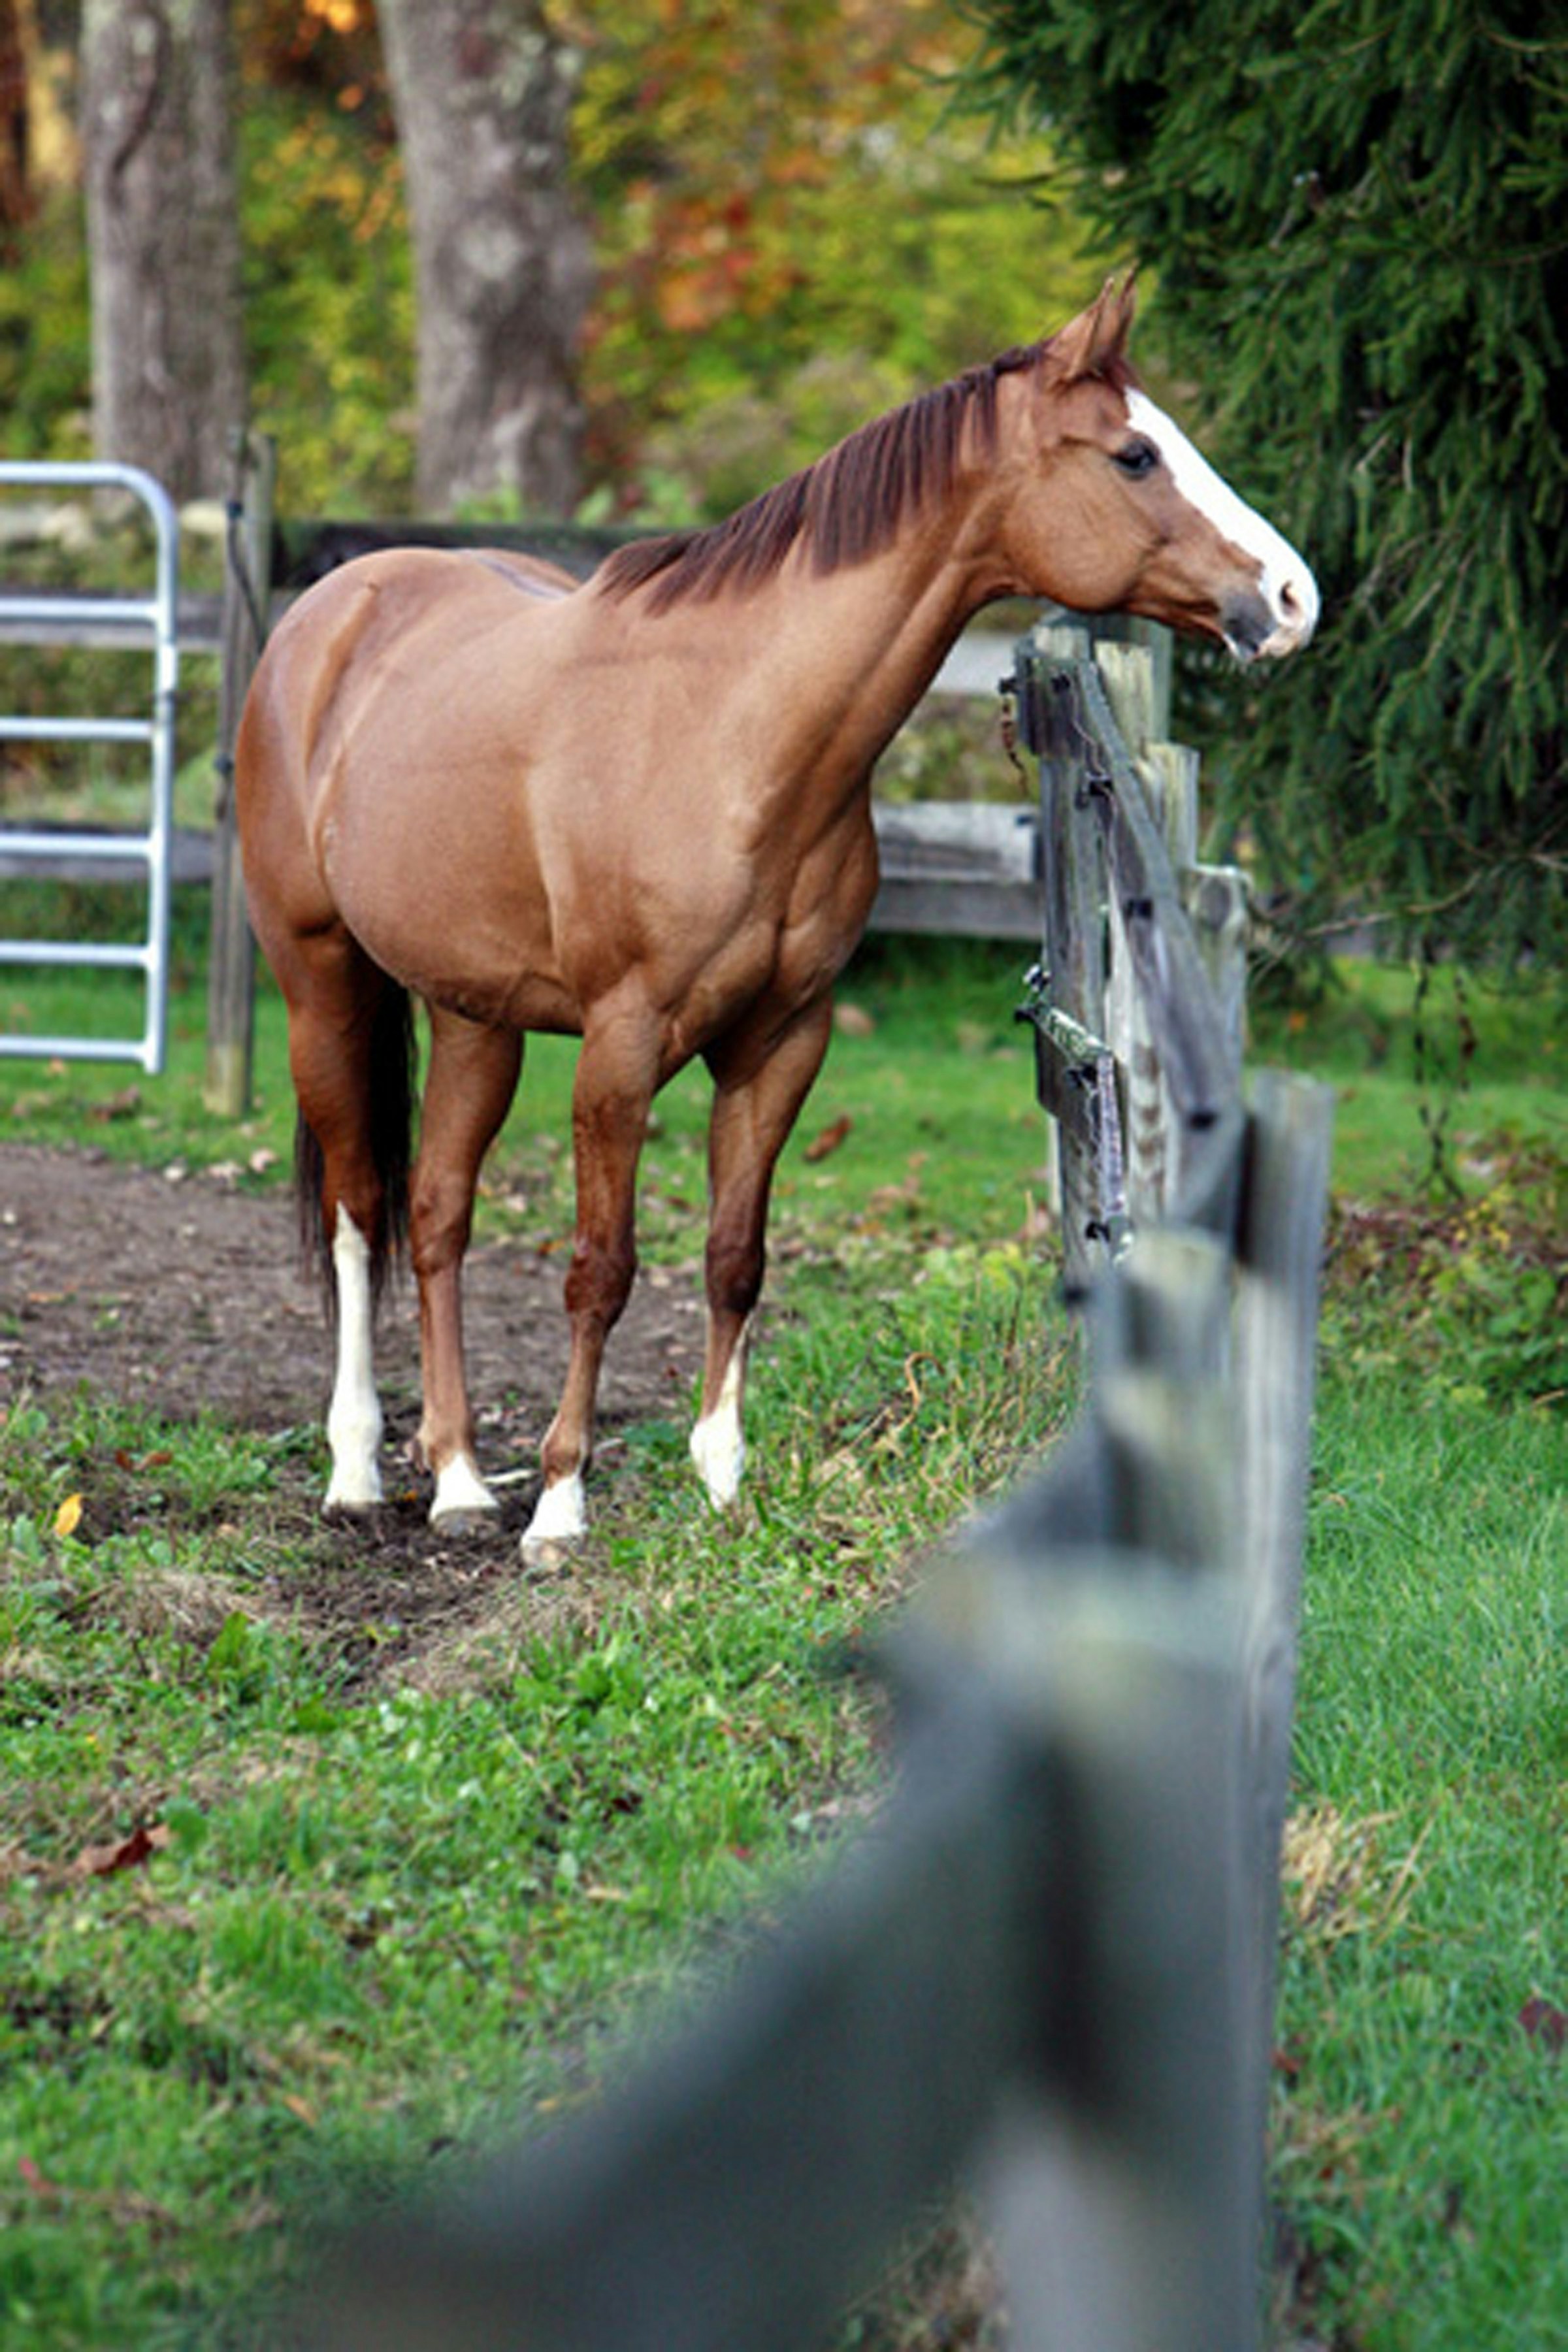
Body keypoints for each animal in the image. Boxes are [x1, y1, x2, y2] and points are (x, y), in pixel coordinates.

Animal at [236, 278, 1318, 1562]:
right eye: (1136, 454)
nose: (1293, 598)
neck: (733, 730)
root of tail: (331, 609)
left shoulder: (781, 1041)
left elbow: (734, 1258)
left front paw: (720, 1480)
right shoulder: (621, 1049)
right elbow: (602, 1267)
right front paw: (561, 1502)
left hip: (473, 1017)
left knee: (440, 1212)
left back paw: (454, 1479)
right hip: (322, 984)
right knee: (359, 1213)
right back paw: (358, 1468)